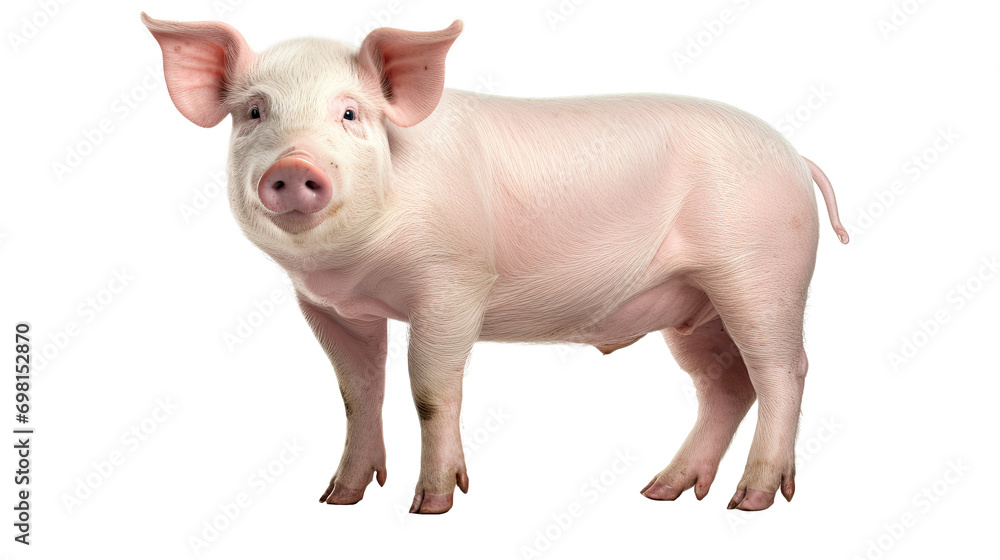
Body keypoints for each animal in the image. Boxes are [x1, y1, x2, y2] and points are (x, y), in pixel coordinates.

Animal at [142, 13, 849, 514]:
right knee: (725, 385)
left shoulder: (453, 281)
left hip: (763, 271)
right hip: (692, 306)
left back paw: (751, 500)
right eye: (253, 111)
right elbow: (356, 391)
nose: (293, 166)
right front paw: (337, 498)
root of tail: (796, 156)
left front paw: (431, 505)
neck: (356, 270)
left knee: (783, 371)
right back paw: (662, 492)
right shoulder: (326, 306)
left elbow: (430, 389)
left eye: (349, 113)